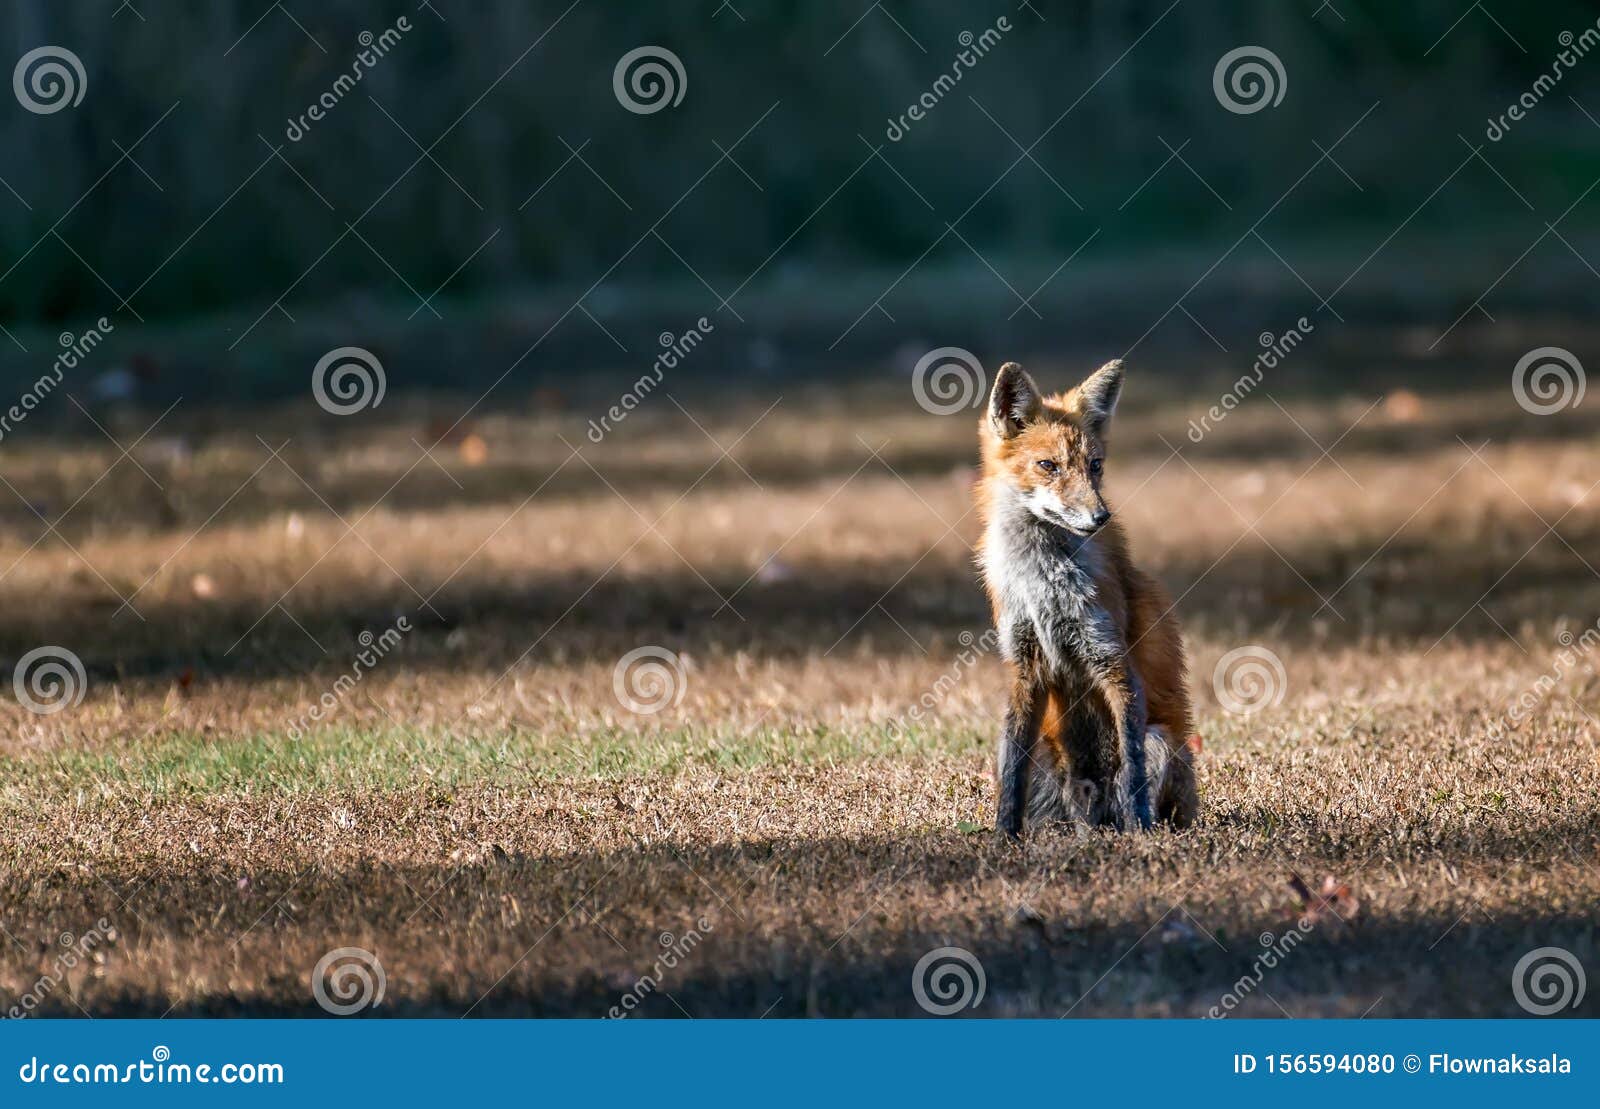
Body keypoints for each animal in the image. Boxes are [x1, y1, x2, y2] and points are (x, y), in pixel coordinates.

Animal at [976, 359, 1198, 837]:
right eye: (1048, 465)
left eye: (1095, 465)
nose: (1100, 516)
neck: (1044, 583)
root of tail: (1087, 815)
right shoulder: (1024, 666)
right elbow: (1012, 778)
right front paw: (1004, 837)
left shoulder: (1113, 661)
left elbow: (1131, 768)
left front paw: (1141, 833)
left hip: (1160, 742)